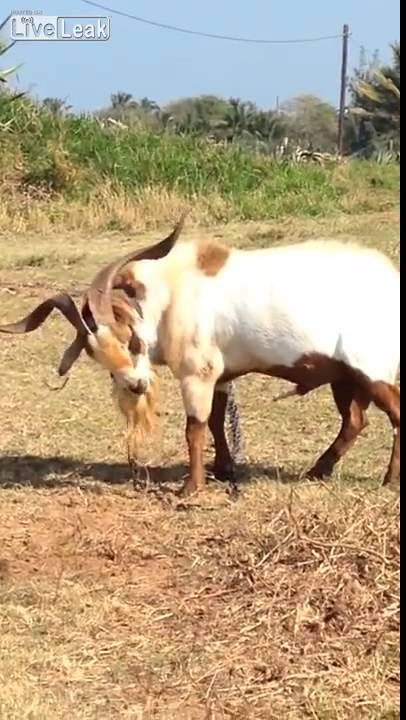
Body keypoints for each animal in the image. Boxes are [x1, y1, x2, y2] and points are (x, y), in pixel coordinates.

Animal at [0, 217, 400, 495]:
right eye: (97, 357)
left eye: (131, 339)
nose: (136, 385)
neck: (168, 293)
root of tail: (390, 277)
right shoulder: (221, 375)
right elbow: (217, 422)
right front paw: (222, 470)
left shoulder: (197, 373)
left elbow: (194, 428)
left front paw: (190, 488)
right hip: (344, 374)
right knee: (355, 421)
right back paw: (318, 471)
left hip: (371, 368)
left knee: (393, 414)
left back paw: (388, 480)